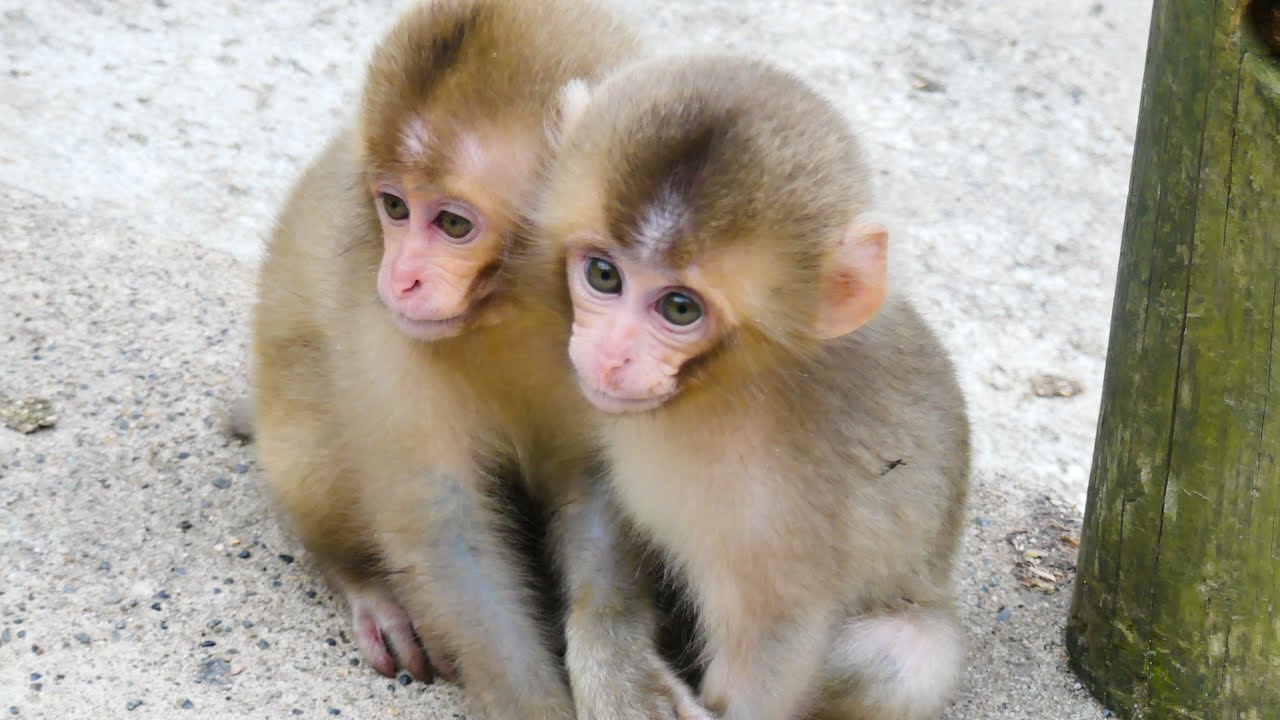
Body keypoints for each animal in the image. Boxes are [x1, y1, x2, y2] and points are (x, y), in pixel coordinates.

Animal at [251, 3, 706, 718]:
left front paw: (618, 671)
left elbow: (599, 487)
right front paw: (536, 705)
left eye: (453, 225)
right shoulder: (378, 323)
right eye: (394, 207)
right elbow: (448, 533)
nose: (401, 277)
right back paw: (363, 582)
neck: (521, 299)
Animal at [524, 54, 972, 720]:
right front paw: (616, 657)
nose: (608, 357)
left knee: (906, 654)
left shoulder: (776, 503)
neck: (717, 392)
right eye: (603, 275)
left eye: (680, 308)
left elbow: (781, 638)